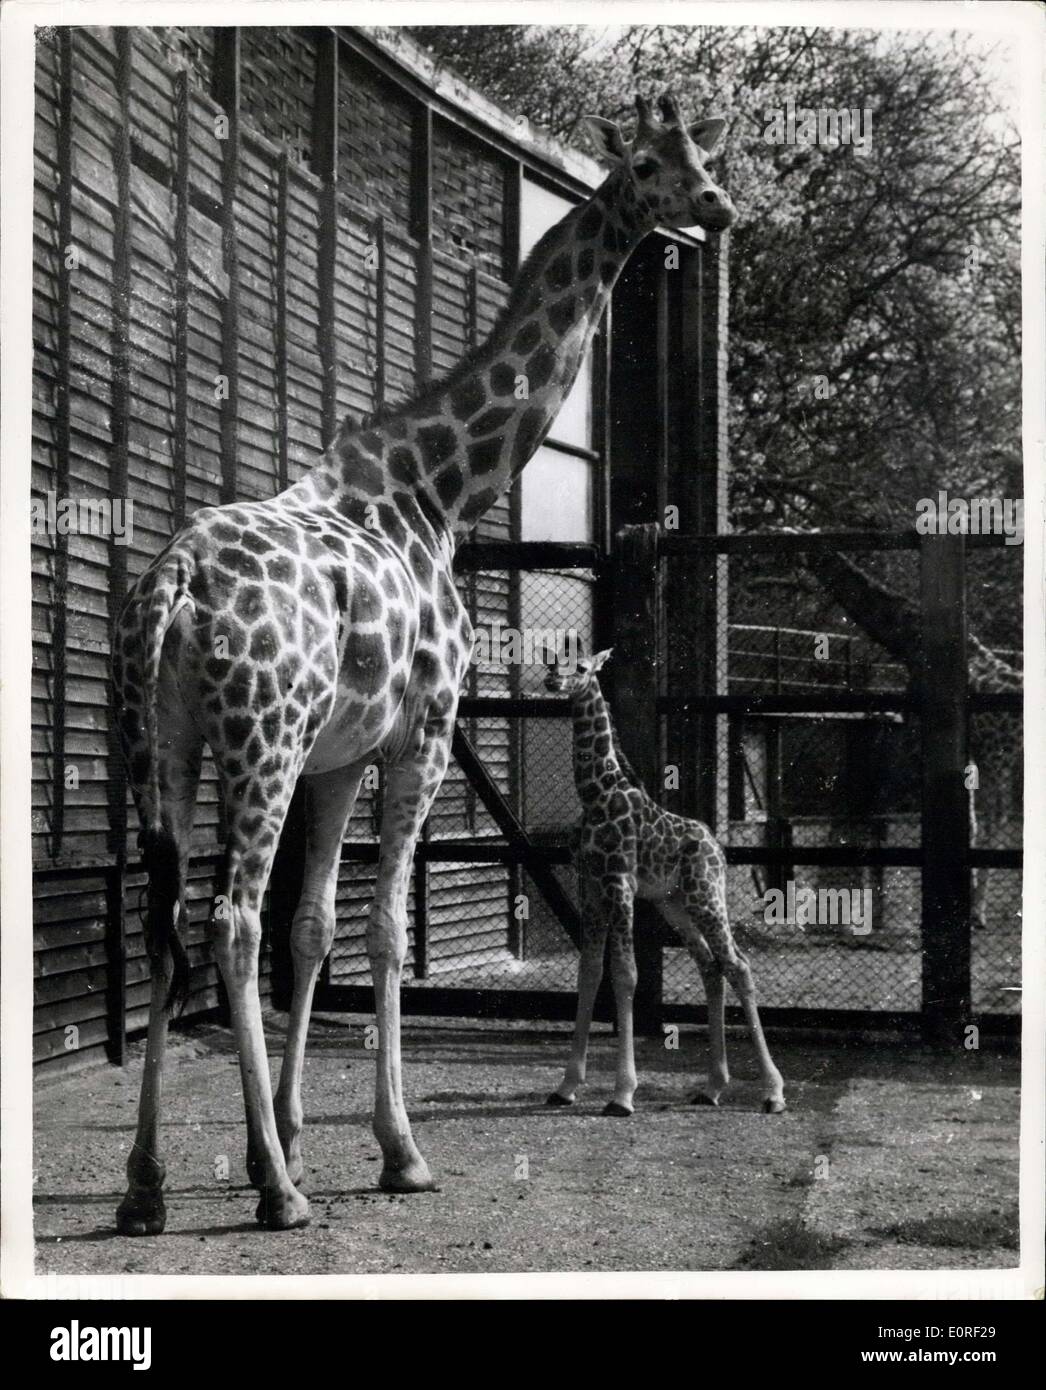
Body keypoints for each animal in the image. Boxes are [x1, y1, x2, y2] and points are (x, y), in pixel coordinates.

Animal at [111, 93, 737, 1234]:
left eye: (699, 157)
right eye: (646, 164)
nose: (715, 208)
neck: (440, 490)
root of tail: (173, 583)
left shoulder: (337, 757)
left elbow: (315, 928)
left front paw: (300, 1135)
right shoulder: (426, 736)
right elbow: (386, 931)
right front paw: (394, 1152)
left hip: (163, 749)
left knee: (167, 926)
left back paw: (147, 1186)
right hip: (260, 743)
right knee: (228, 921)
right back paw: (274, 1195)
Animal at [544, 649, 785, 1116]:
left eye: (580, 667)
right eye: (552, 662)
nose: (552, 682)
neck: (595, 793)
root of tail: (719, 849)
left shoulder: (619, 882)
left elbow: (625, 974)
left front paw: (623, 1094)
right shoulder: (590, 888)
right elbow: (589, 973)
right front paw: (565, 1086)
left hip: (706, 897)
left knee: (738, 964)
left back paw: (773, 1092)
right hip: (676, 906)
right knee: (711, 965)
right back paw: (712, 1087)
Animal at [804, 547, 1022, 928]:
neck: (908, 637)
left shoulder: (926, 730)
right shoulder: (968, 747)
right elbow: (969, 819)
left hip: (1003, 756)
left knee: (1000, 818)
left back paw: (982, 912)